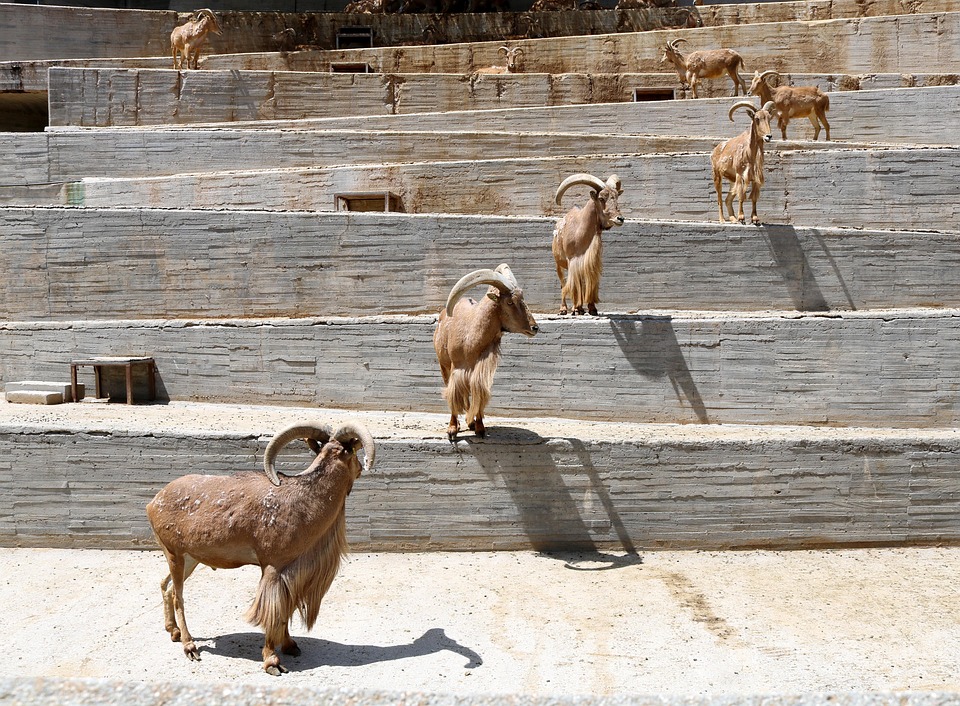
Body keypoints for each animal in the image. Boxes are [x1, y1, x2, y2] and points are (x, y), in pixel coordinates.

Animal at [146, 420, 375, 676]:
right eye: (353, 452)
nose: (362, 467)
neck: (306, 499)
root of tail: (154, 502)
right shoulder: (273, 567)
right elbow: (273, 611)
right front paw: (272, 661)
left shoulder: (290, 572)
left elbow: (285, 610)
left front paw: (290, 645)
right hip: (175, 554)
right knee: (178, 596)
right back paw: (189, 646)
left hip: (189, 558)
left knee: (166, 586)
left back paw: (173, 631)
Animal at [433, 264, 539, 440]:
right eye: (510, 302)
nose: (534, 327)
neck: (471, 337)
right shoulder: (456, 368)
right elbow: (453, 396)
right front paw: (452, 430)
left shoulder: (480, 370)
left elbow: (479, 394)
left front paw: (480, 428)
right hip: (443, 365)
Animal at [552, 173, 624, 316]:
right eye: (601, 198)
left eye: (616, 197)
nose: (620, 218)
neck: (580, 233)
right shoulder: (572, 260)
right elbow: (574, 284)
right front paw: (576, 308)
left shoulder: (591, 260)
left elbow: (588, 281)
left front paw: (592, 308)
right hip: (558, 263)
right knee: (563, 283)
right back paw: (564, 309)